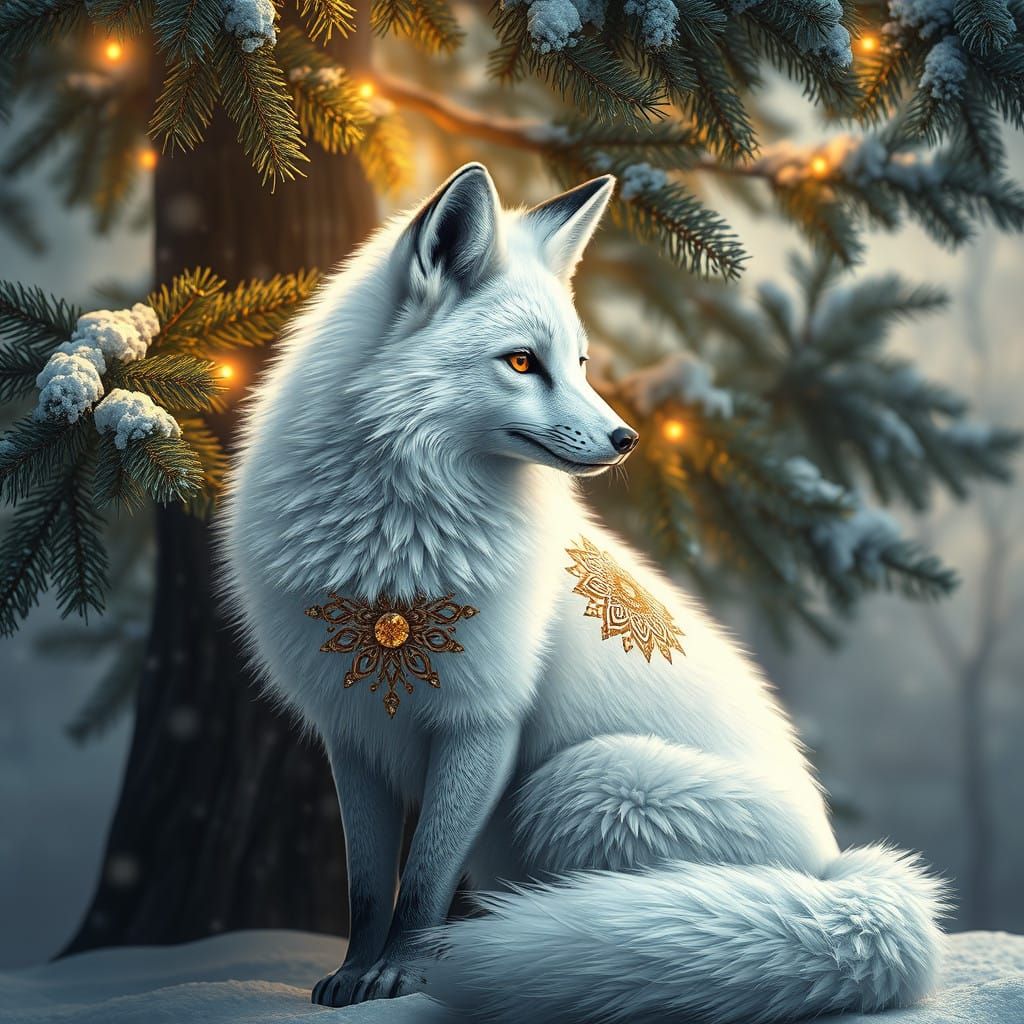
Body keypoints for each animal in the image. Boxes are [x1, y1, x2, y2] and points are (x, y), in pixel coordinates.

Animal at [221, 163, 946, 1022]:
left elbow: (422, 884)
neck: (393, 560)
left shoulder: (484, 721)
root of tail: (838, 869)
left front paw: (396, 977)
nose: (627, 439)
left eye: (583, 361)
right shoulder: (353, 729)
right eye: (522, 363)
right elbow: (368, 890)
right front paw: (353, 977)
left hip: (571, 785)